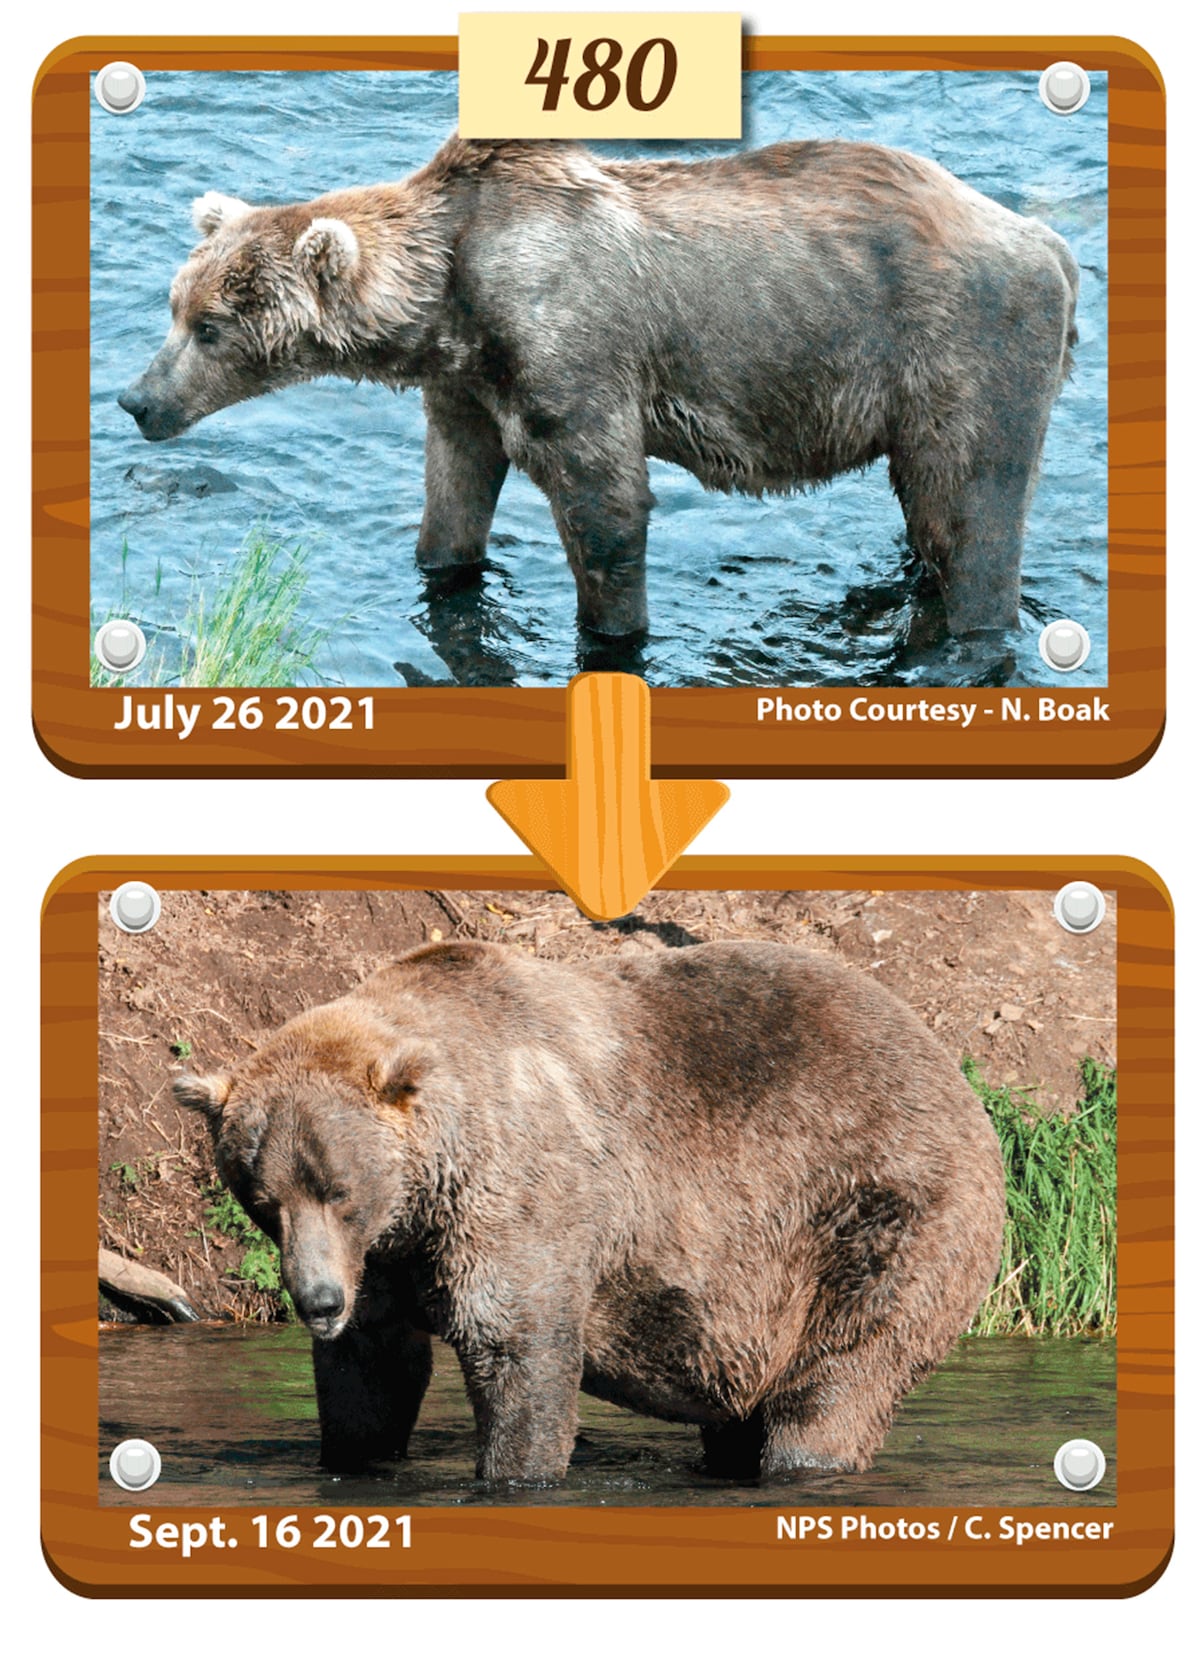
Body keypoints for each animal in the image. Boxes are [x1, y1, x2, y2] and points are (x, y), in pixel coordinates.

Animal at [119, 134, 1079, 646]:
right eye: (175, 305)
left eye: (210, 326)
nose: (136, 399)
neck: (452, 301)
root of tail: (1044, 239)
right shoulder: (467, 387)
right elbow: (455, 492)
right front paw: (442, 568)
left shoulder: (570, 349)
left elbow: (607, 507)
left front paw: (613, 632)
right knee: (930, 513)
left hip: (958, 352)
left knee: (974, 512)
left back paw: (974, 626)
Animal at [173, 939, 1006, 1483]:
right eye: (263, 1199)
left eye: (340, 1190)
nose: (318, 1300)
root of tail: (951, 1067)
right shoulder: (389, 1257)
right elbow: (372, 1371)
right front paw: (355, 1452)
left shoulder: (519, 1196)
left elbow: (518, 1348)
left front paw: (514, 1471)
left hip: (875, 1211)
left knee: (840, 1375)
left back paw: (806, 1457)